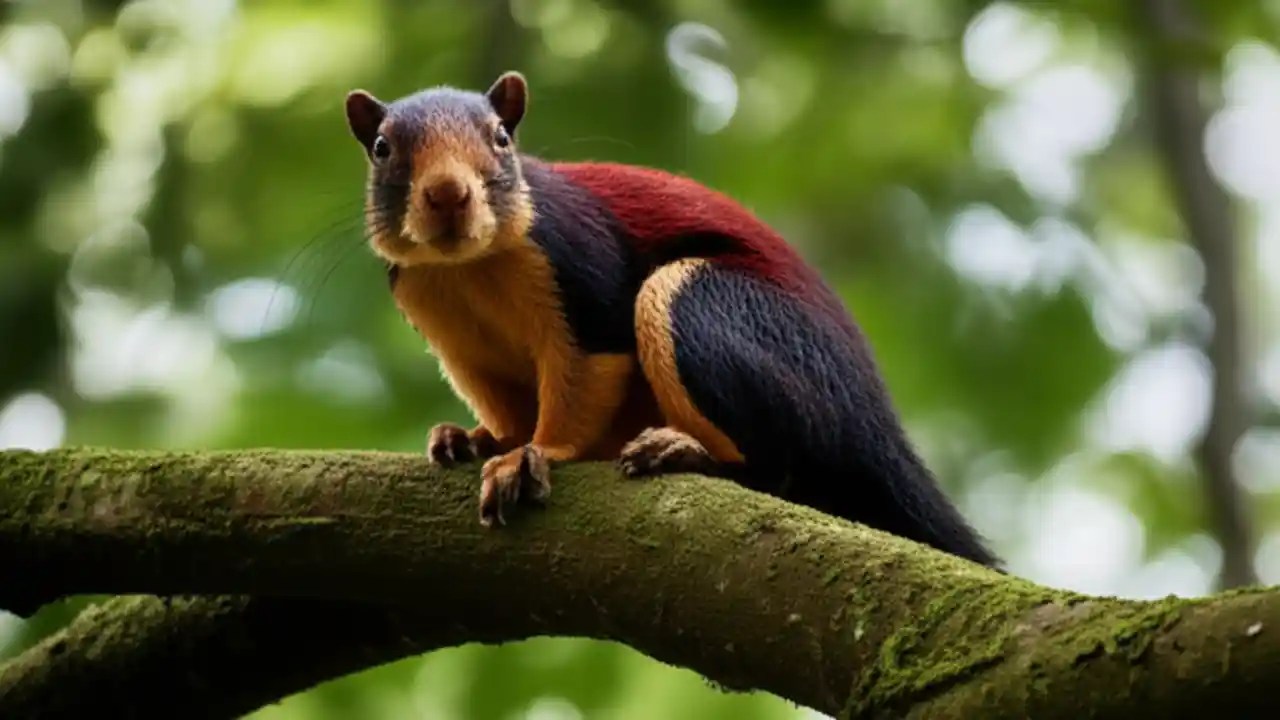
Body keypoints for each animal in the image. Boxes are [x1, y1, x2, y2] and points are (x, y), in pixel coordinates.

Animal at [343, 71, 999, 568]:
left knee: (781, 470)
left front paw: (534, 454)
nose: (448, 194)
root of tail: (877, 426)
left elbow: (586, 369)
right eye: (381, 148)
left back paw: (688, 454)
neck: (468, 269)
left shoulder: (578, 266)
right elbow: (501, 400)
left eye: (502, 137)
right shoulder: (449, 331)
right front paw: (482, 438)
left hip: (717, 312)